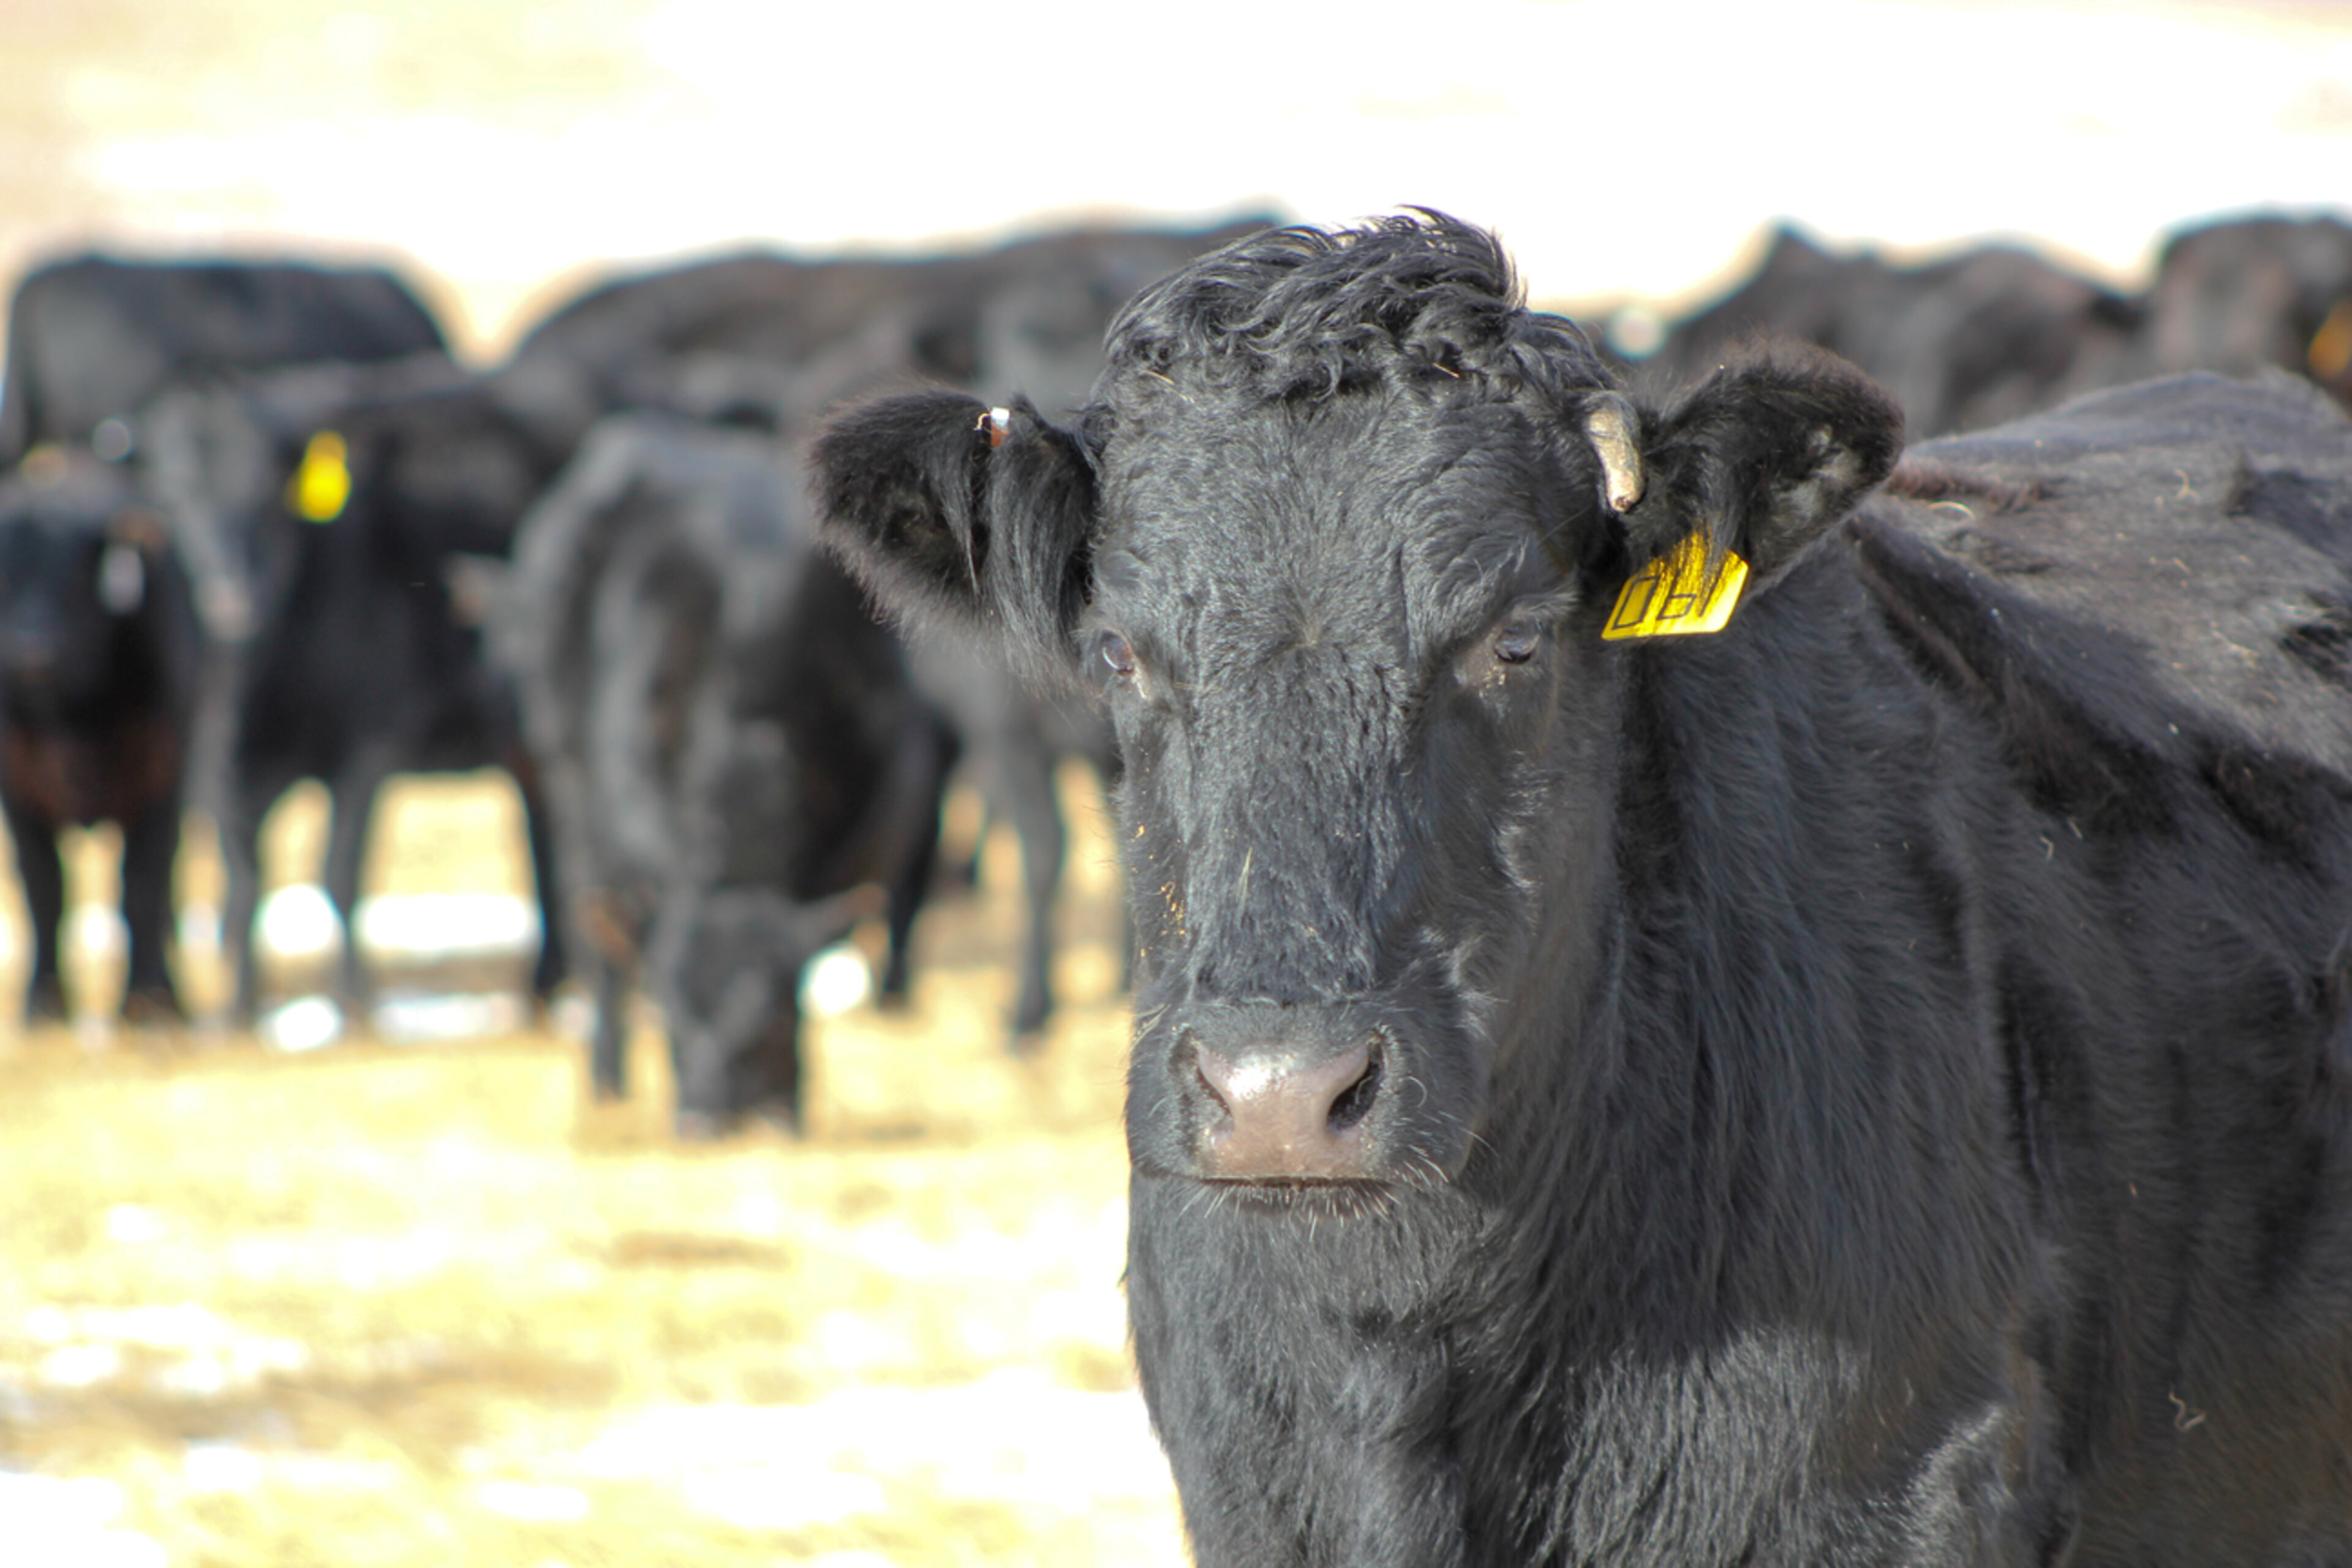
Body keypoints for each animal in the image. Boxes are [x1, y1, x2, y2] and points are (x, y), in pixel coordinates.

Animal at [0, 448, 199, 1024]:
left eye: (71, 580)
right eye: (2, 580)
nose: (30, 656)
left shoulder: (163, 775)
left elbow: (145, 885)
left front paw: (150, 998)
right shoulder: (16, 788)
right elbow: (44, 887)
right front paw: (43, 998)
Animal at [138, 354, 574, 1029]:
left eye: (266, 497)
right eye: (177, 496)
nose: (232, 594)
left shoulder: (368, 744)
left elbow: (339, 871)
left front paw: (356, 1004)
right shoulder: (212, 763)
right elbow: (242, 879)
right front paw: (236, 1011)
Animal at [502, 416, 952, 1133]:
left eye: (768, 1020)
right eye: (671, 1016)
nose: (706, 1120)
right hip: (570, 784)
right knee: (600, 943)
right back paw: (607, 1086)